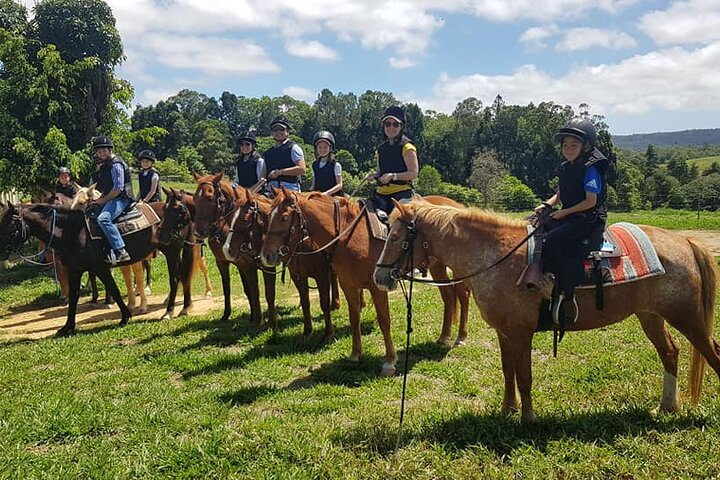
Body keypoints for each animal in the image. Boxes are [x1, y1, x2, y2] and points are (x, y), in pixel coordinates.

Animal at [192, 173, 277, 327]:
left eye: (210, 197)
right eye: (195, 198)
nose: (198, 232)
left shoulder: (256, 265)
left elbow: (262, 292)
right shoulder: (228, 262)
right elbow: (234, 289)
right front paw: (229, 315)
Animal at [222, 186, 341, 343]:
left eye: (244, 219)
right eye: (231, 219)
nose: (227, 250)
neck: (305, 242)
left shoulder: (321, 275)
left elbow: (323, 303)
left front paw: (328, 335)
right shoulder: (297, 275)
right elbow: (304, 301)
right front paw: (307, 331)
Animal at [259, 187, 471, 376]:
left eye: (284, 217)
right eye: (268, 216)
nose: (266, 255)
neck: (349, 236)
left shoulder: (377, 287)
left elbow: (384, 320)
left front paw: (389, 361)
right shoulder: (348, 285)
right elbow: (354, 318)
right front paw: (355, 354)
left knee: (463, 294)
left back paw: (461, 336)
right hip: (437, 267)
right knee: (449, 297)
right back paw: (444, 336)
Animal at [373, 199, 720, 422]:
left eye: (398, 237)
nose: (379, 276)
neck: (496, 255)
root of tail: (686, 242)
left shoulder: (521, 333)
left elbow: (524, 376)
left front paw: (527, 418)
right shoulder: (504, 332)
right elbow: (508, 372)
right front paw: (507, 409)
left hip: (687, 318)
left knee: (711, 354)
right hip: (651, 316)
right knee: (670, 352)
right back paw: (666, 407)